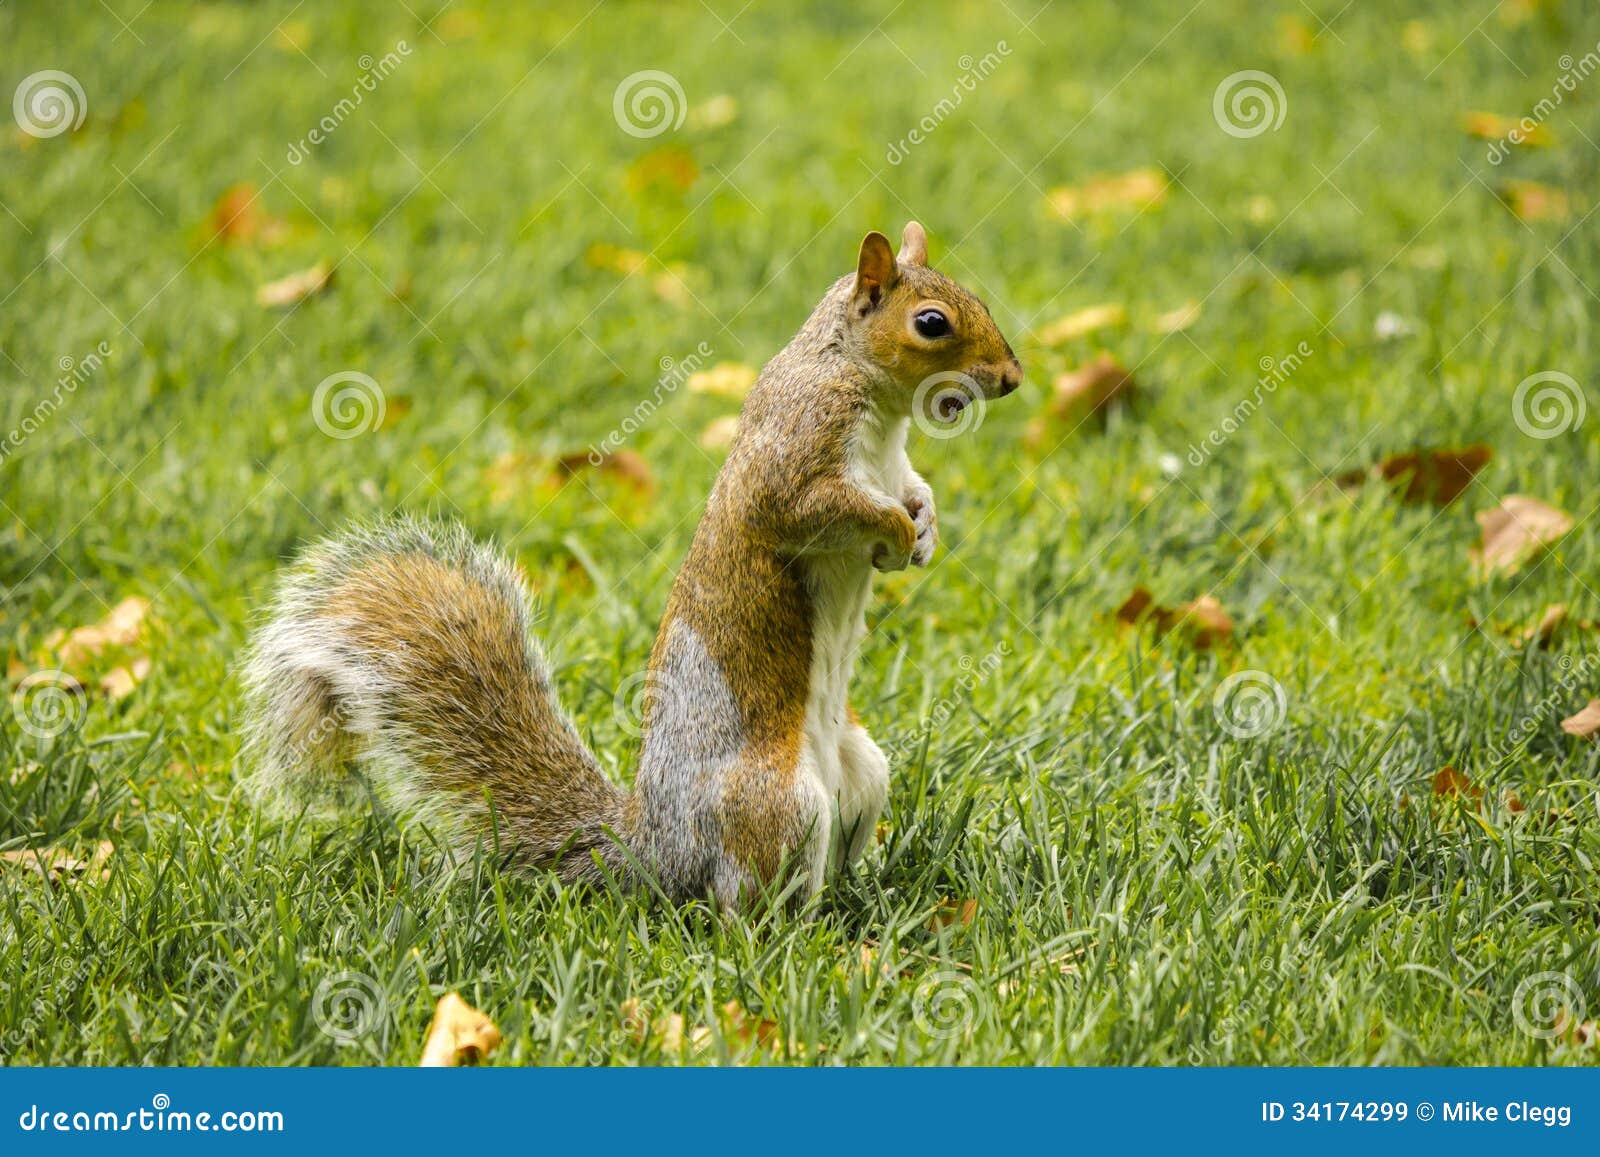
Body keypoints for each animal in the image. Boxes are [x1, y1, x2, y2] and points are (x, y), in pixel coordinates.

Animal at [242, 221, 1022, 910]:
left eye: (976, 298)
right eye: (931, 322)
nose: (1012, 378)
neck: (871, 398)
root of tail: (653, 852)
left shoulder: (895, 465)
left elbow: (916, 488)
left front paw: (924, 532)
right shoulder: (795, 456)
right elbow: (815, 508)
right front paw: (894, 530)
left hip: (863, 776)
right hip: (775, 803)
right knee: (737, 902)